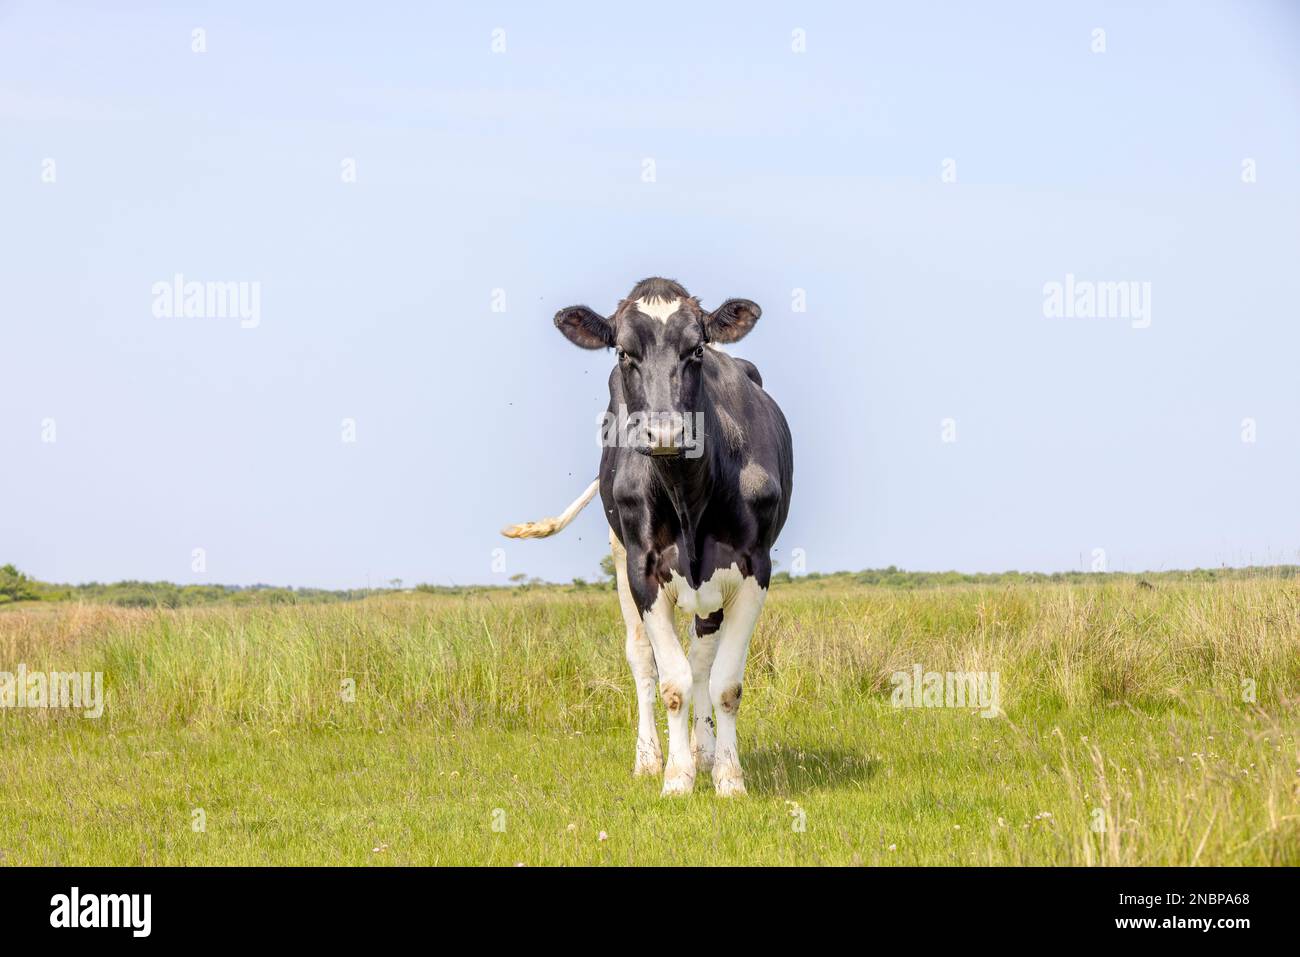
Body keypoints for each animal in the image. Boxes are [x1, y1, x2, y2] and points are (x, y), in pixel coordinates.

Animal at [502, 277, 793, 797]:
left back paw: (704, 750)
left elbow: (724, 683)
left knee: (702, 659)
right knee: (641, 657)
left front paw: (727, 776)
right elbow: (672, 682)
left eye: (696, 348)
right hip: (620, 558)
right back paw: (650, 758)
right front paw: (676, 778)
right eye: (623, 353)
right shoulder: (644, 569)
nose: (666, 432)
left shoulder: (755, 567)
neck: (686, 491)